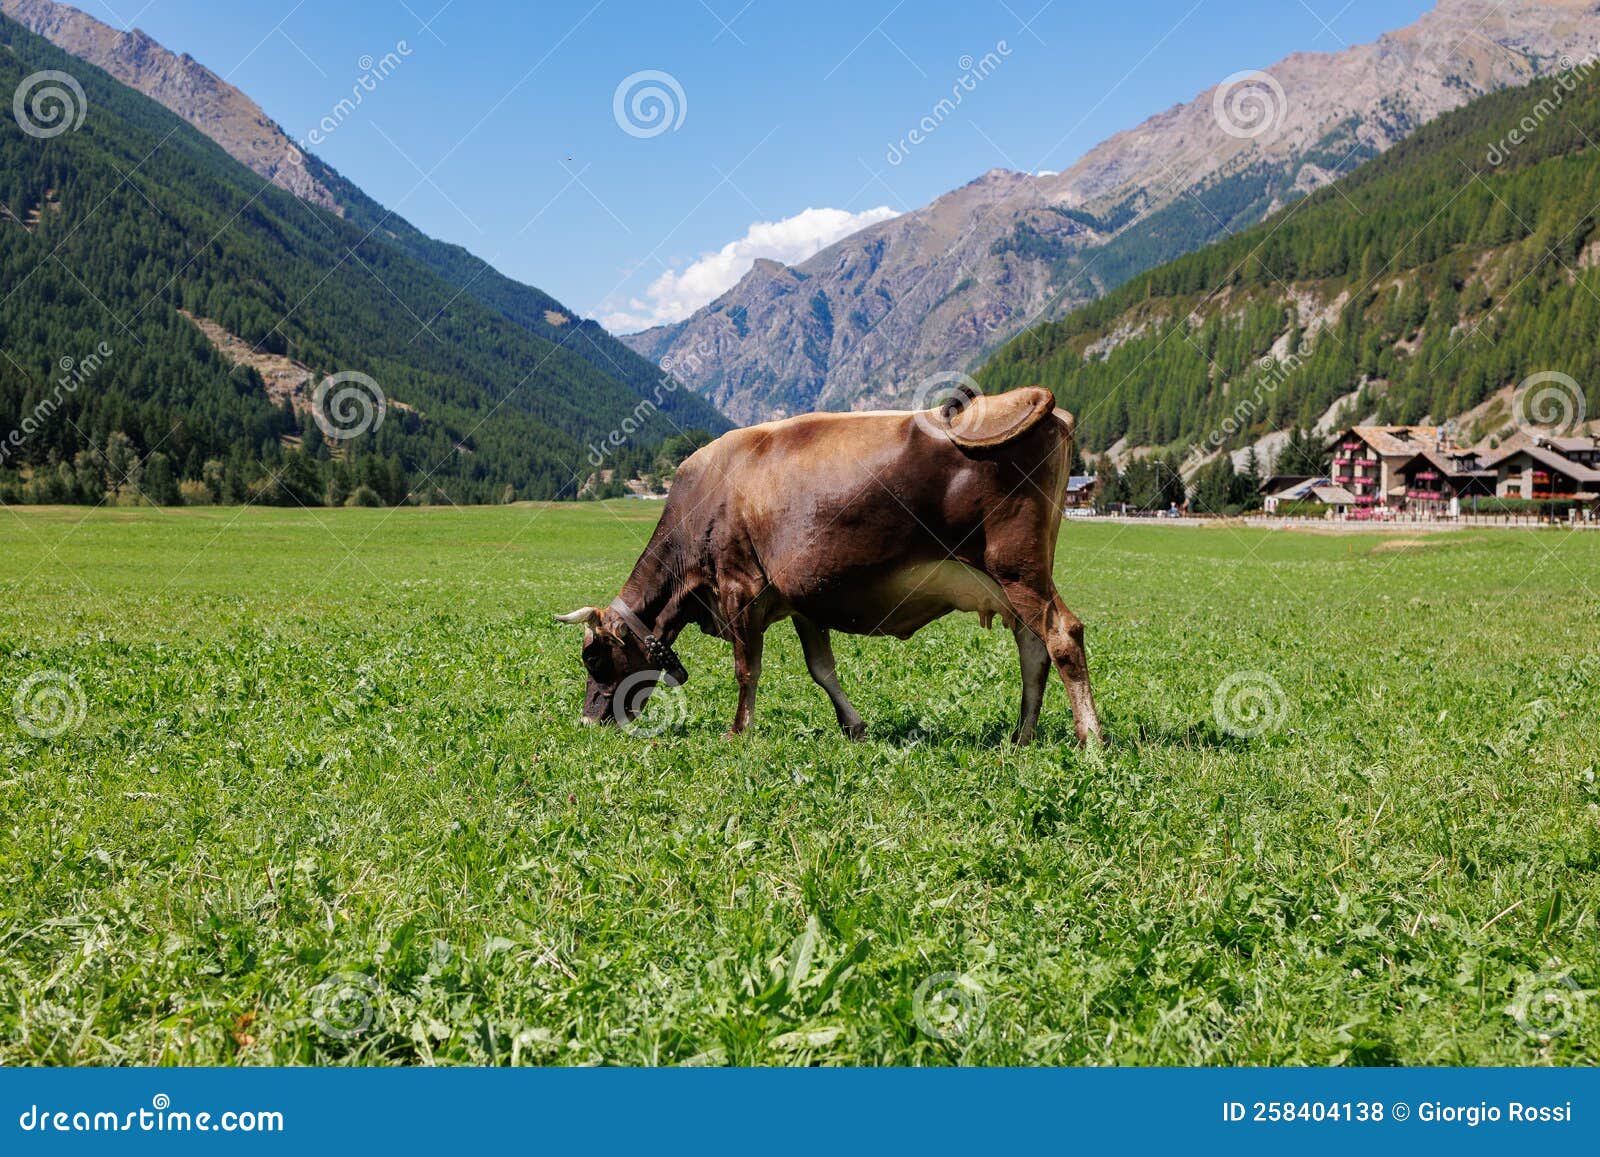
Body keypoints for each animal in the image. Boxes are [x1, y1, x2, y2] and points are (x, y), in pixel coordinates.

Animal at [555, 385, 1102, 746]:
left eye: (593, 657)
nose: (586, 723)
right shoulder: (801, 601)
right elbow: (821, 669)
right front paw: (854, 726)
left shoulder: (739, 586)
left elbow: (746, 668)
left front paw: (738, 732)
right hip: (1012, 580)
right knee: (1033, 650)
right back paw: (1022, 736)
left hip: (1017, 569)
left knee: (1062, 635)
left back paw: (1090, 739)